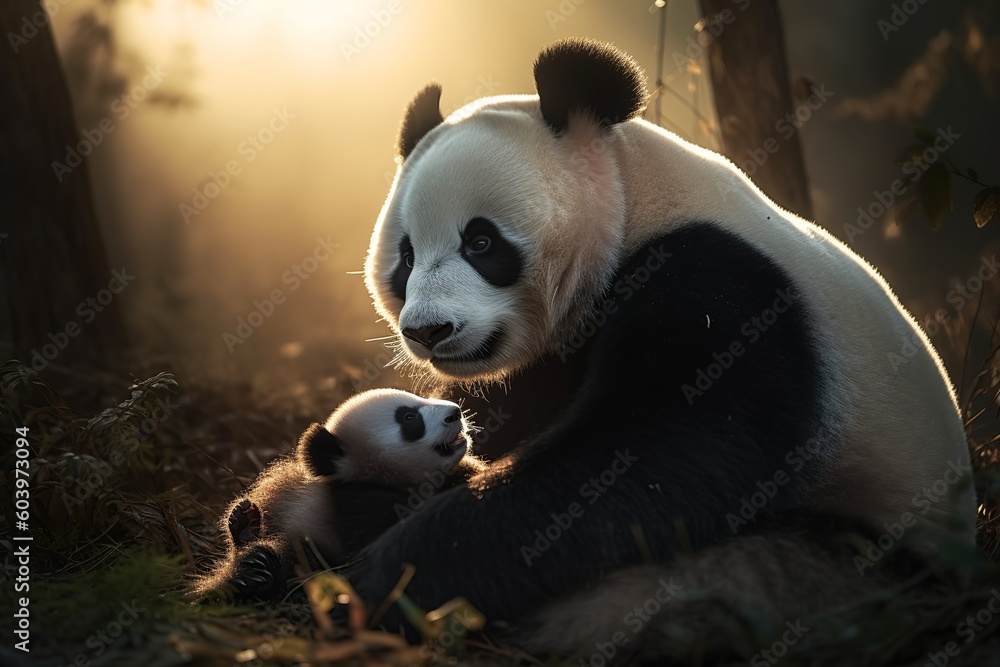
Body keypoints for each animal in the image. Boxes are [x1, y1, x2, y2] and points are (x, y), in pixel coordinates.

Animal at [352, 38, 978, 654]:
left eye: (481, 242)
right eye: (406, 257)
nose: (427, 331)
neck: (637, 201)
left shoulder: (728, 290)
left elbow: (651, 461)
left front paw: (383, 581)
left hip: (848, 557)